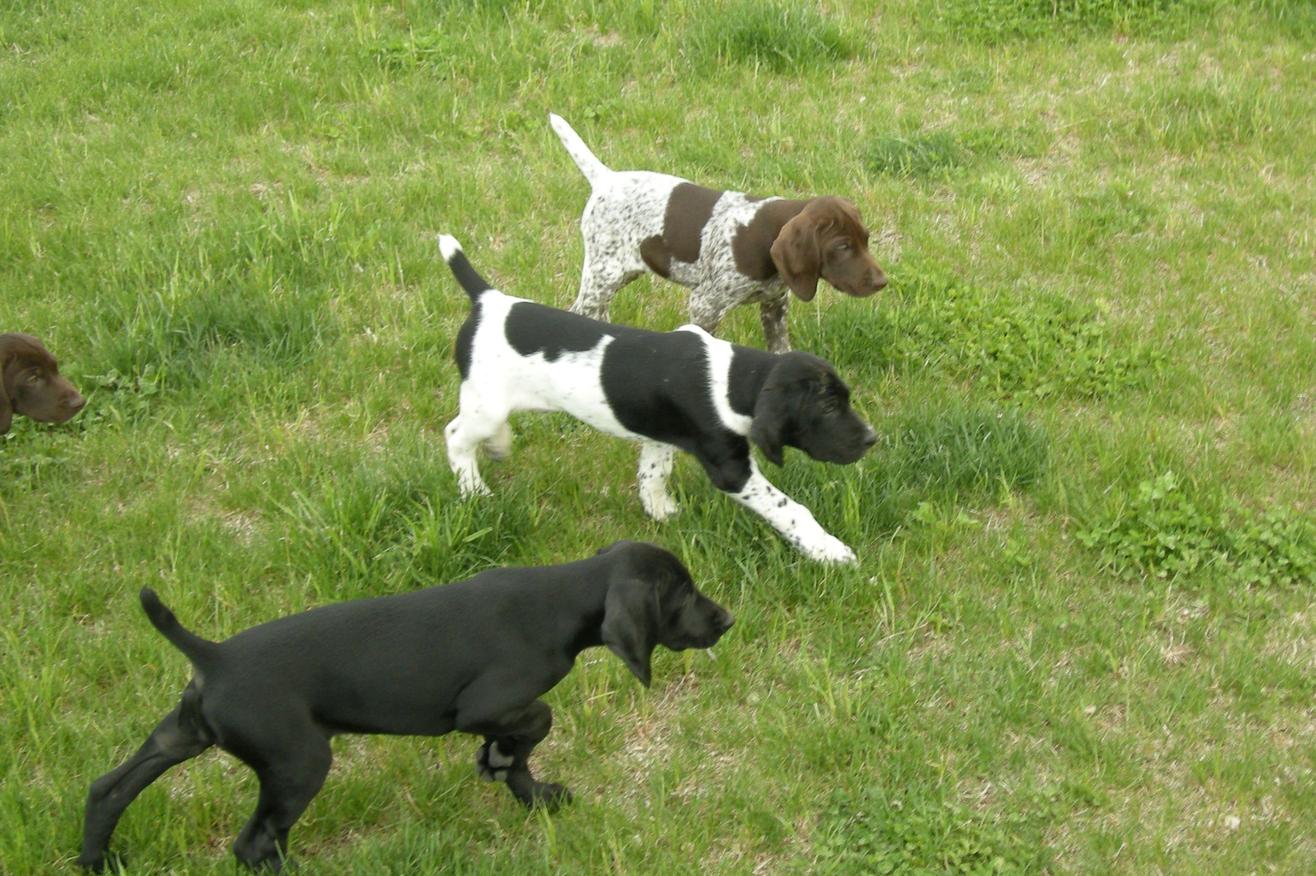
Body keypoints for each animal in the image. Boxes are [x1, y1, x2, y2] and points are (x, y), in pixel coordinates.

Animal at [76, 539, 736, 868]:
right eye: (683, 594)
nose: (727, 619)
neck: (560, 596)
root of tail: (212, 657)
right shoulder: (485, 704)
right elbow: (537, 721)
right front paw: (502, 760)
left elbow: (522, 746)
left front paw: (525, 786)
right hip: (298, 763)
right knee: (254, 844)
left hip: (182, 735)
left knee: (108, 790)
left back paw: (94, 860)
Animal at [436, 231, 879, 562]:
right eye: (828, 406)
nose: (872, 439)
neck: (732, 379)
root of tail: (488, 300)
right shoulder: (731, 467)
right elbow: (792, 510)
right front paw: (830, 551)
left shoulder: (661, 435)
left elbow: (653, 474)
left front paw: (660, 511)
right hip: (486, 403)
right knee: (456, 436)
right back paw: (475, 491)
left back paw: (498, 446)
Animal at [544, 112, 884, 352]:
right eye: (841, 247)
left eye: (866, 240)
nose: (883, 282)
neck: (763, 236)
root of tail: (606, 178)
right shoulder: (705, 304)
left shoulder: (774, 305)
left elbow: (780, 349)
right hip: (603, 275)